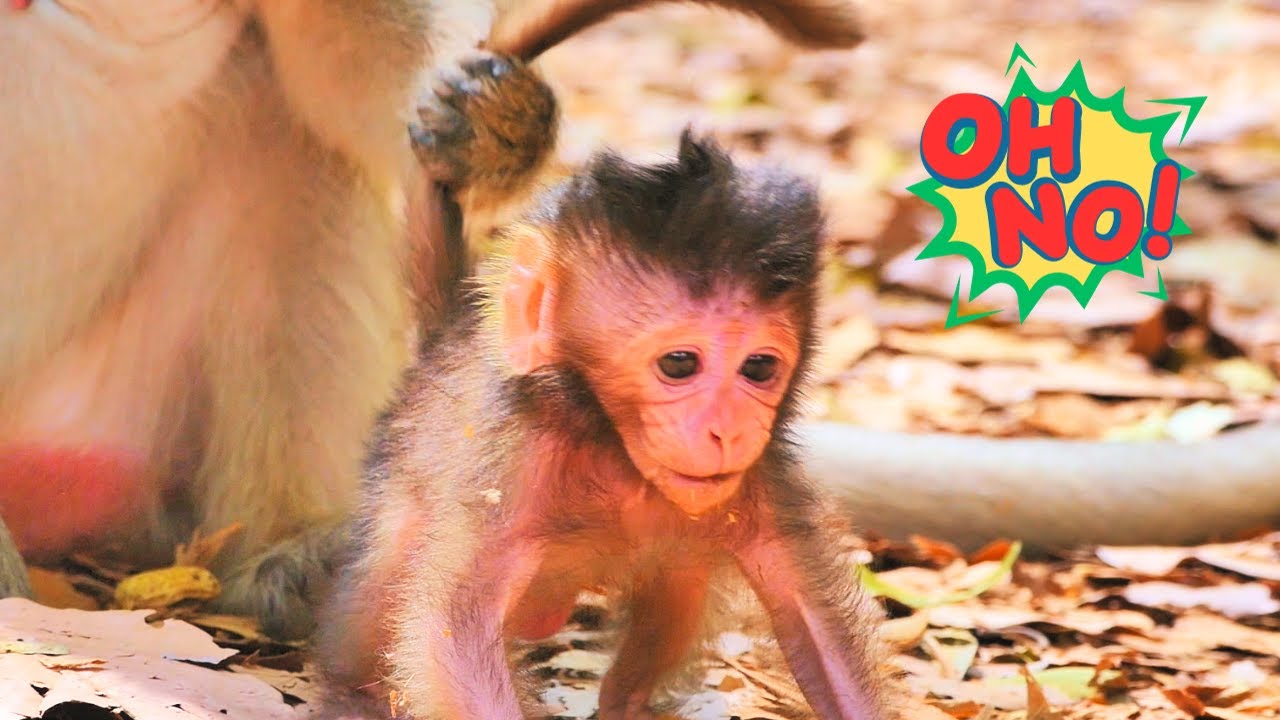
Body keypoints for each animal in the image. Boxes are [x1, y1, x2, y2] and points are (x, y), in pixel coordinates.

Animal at [315, 131, 898, 720]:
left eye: (758, 368)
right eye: (679, 364)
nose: (729, 431)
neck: (615, 449)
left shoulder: (762, 474)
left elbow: (812, 616)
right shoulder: (519, 459)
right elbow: (457, 626)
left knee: (683, 575)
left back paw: (628, 702)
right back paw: (352, 692)